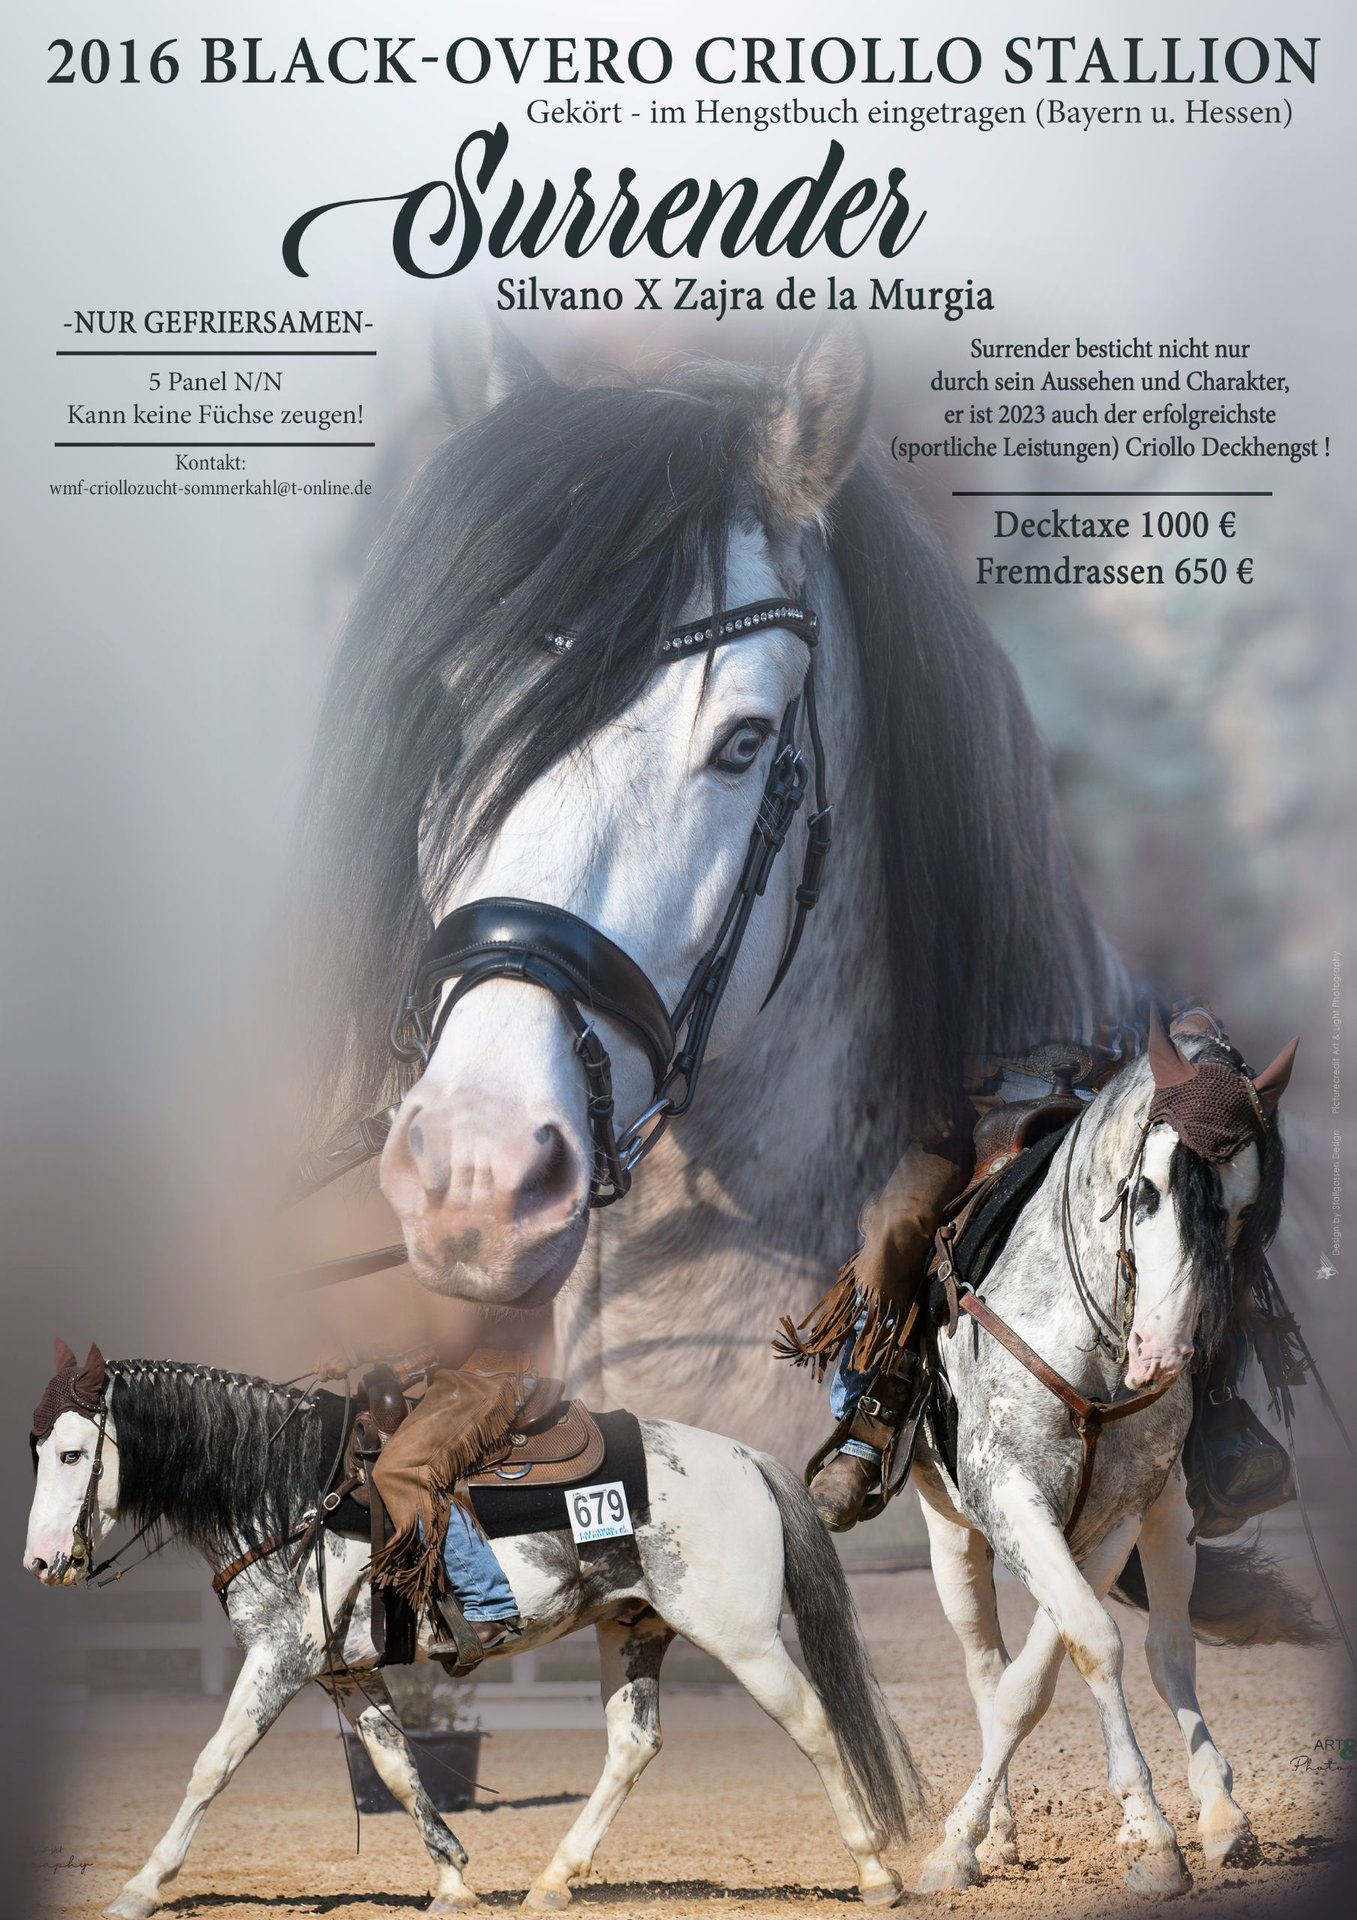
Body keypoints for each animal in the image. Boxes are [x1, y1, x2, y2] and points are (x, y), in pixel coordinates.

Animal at [24, 1344, 922, 1917]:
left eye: (71, 1454)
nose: (39, 1561)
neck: (287, 1492)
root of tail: (744, 1459)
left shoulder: (278, 1660)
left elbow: (211, 1767)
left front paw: (141, 1887)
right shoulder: (345, 1673)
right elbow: (394, 1770)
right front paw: (453, 1881)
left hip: (743, 1638)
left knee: (813, 1724)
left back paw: (874, 1871)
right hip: (633, 1628)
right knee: (632, 1745)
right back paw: (553, 1880)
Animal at [909, 1015, 1322, 1897]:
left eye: (1244, 1209)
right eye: (1146, 1191)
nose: (1161, 1355)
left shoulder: (1116, 1513)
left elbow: (1058, 1660)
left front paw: (1155, 1833)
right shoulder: (1008, 1498)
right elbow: (1064, 1655)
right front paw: (960, 1845)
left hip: (1168, 1520)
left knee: (1168, 1652)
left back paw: (1220, 1815)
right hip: (949, 1532)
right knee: (983, 1664)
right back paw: (998, 1832)